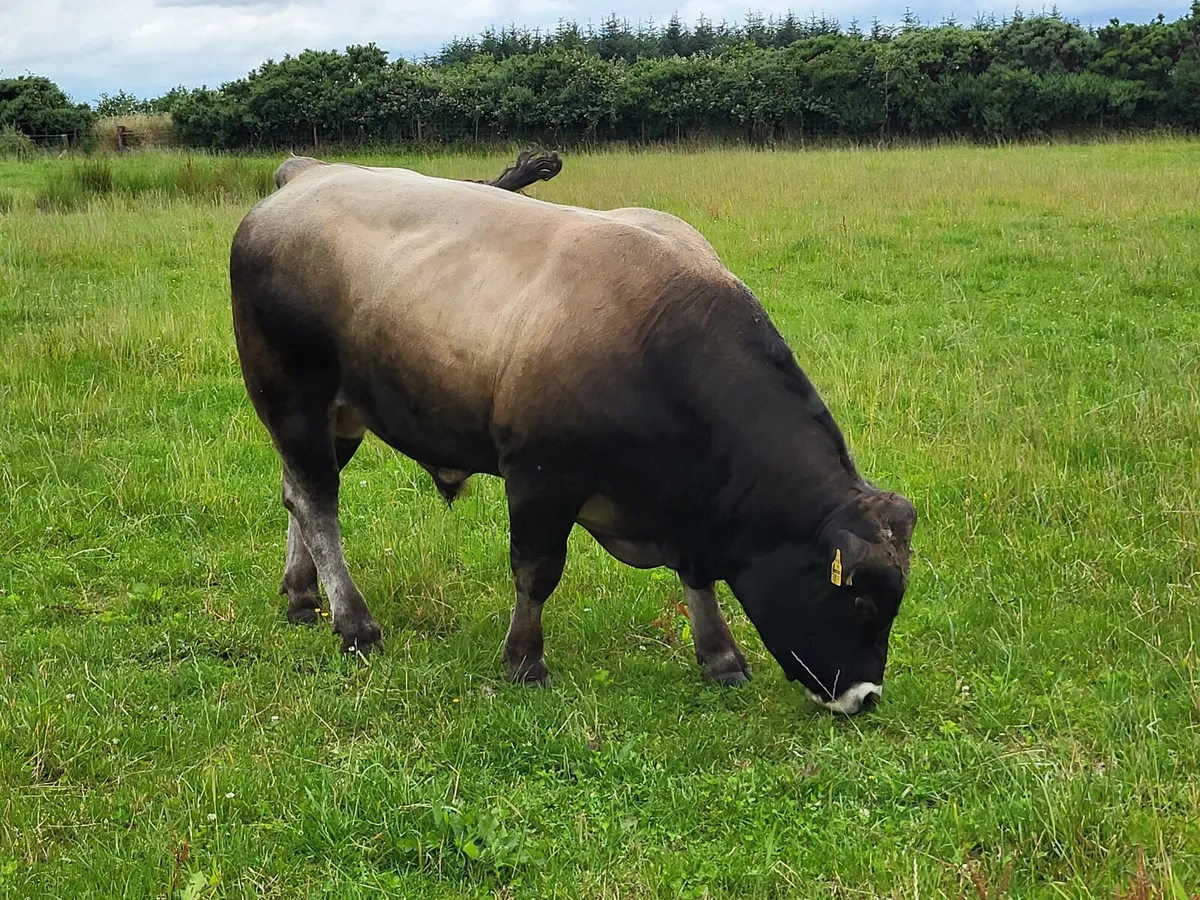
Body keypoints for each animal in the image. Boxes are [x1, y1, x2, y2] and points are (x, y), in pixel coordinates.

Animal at [229, 152, 917, 716]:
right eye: (860, 601)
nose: (866, 697)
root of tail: (309, 173)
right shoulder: (541, 479)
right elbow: (537, 571)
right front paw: (524, 660)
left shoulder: (688, 505)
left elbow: (698, 579)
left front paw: (720, 655)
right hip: (292, 398)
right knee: (318, 504)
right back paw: (354, 623)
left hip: (337, 419)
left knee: (297, 497)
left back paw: (301, 596)